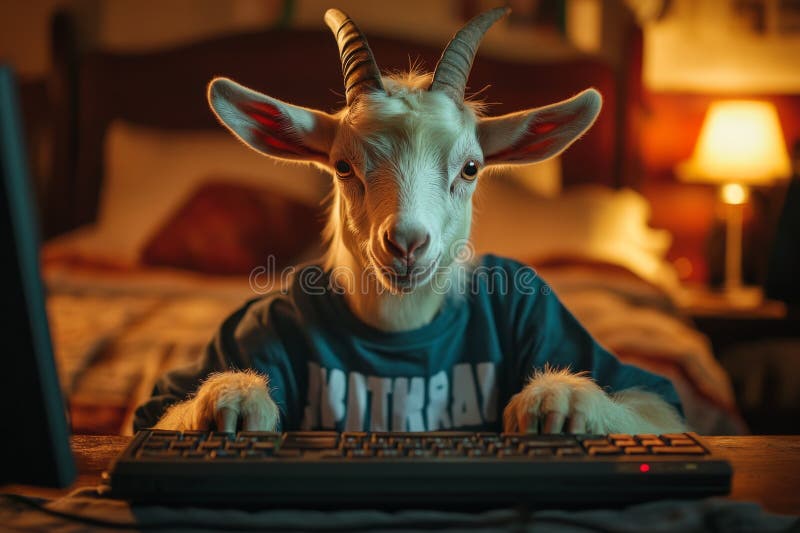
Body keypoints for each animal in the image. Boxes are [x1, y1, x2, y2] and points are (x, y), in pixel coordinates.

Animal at [146, 7, 685, 435]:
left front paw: (559, 399)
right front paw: (233, 399)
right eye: (343, 166)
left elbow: (654, 402)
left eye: (471, 167)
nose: (406, 245)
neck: (400, 325)